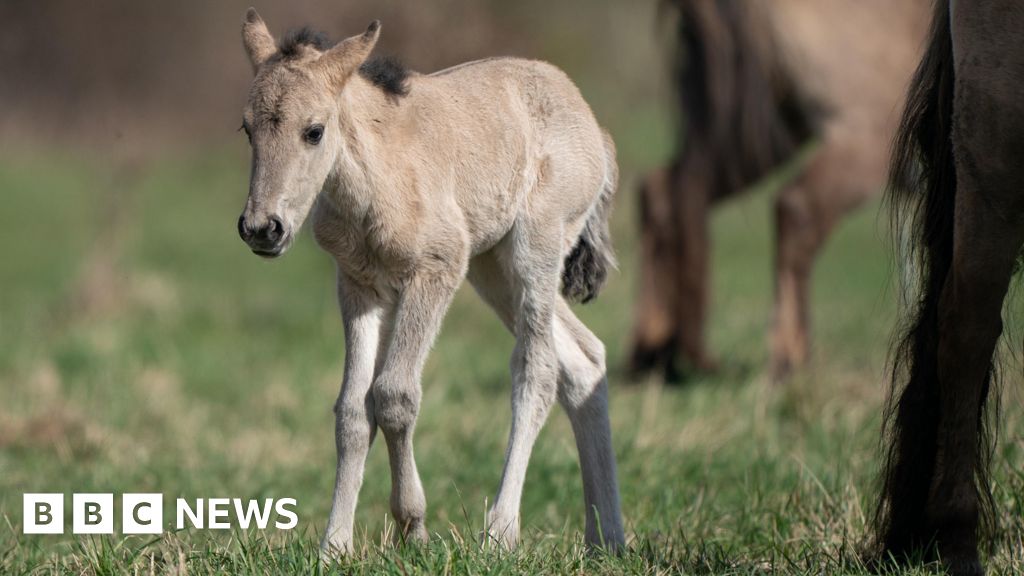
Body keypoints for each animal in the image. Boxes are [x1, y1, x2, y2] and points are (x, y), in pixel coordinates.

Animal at [235, 9, 625, 555]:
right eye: (247, 129)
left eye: (314, 131)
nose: (261, 229)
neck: (377, 173)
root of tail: (594, 128)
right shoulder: (358, 286)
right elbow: (353, 411)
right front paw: (335, 545)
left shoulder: (435, 270)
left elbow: (395, 396)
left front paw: (413, 526)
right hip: (492, 268)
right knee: (584, 361)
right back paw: (606, 538)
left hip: (537, 249)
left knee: (538, 370)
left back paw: (501, 531)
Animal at [629, 0, 931, 380]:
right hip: (864, 129)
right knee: (796, 210)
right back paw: (790, 360)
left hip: (759, 121)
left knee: (662, 191)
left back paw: (651, 350)